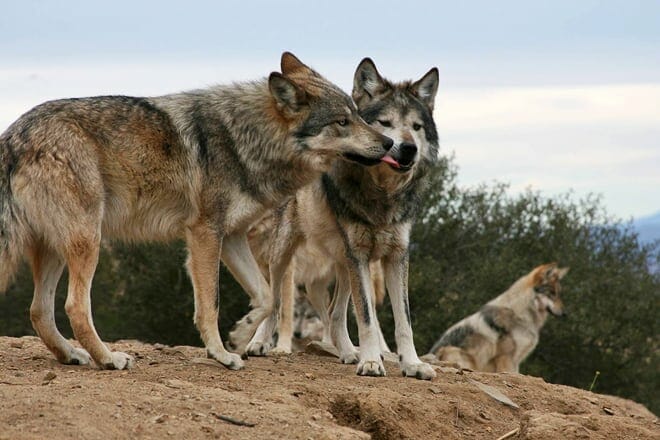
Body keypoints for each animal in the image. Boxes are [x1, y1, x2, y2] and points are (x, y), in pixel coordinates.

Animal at [0, 52, 392, 371]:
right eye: (342, 122)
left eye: (358, 116)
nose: (389, 142)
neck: (248, 140)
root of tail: (14, 135)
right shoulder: (205, 234)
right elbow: (211, 304)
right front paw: (221, 354)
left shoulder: (232, 237)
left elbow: (267, 296)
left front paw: (241, 336)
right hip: (87, 242)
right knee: (74, 307)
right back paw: (109, 359)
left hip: (55, 247)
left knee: (39, 310)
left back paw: (71, 355)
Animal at [248, 58, 440, 379]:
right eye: (385, 123)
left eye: (416, 127)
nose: (408, 149)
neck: (382, 194)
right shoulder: (358, 255)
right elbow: (366, 318)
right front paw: (372, 361)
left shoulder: (395, 255)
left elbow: (403, 321)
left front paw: (412, 364)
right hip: (285, 257)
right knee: (275, 303)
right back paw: (259, 343)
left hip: (343, 262)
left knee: (334, 314)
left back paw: (349, 353)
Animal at [428, 263, 569, 373]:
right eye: (552, 293)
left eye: (558, 294)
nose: (565, 313)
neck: (521, 314)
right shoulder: (506, 357)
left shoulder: (516, 360)